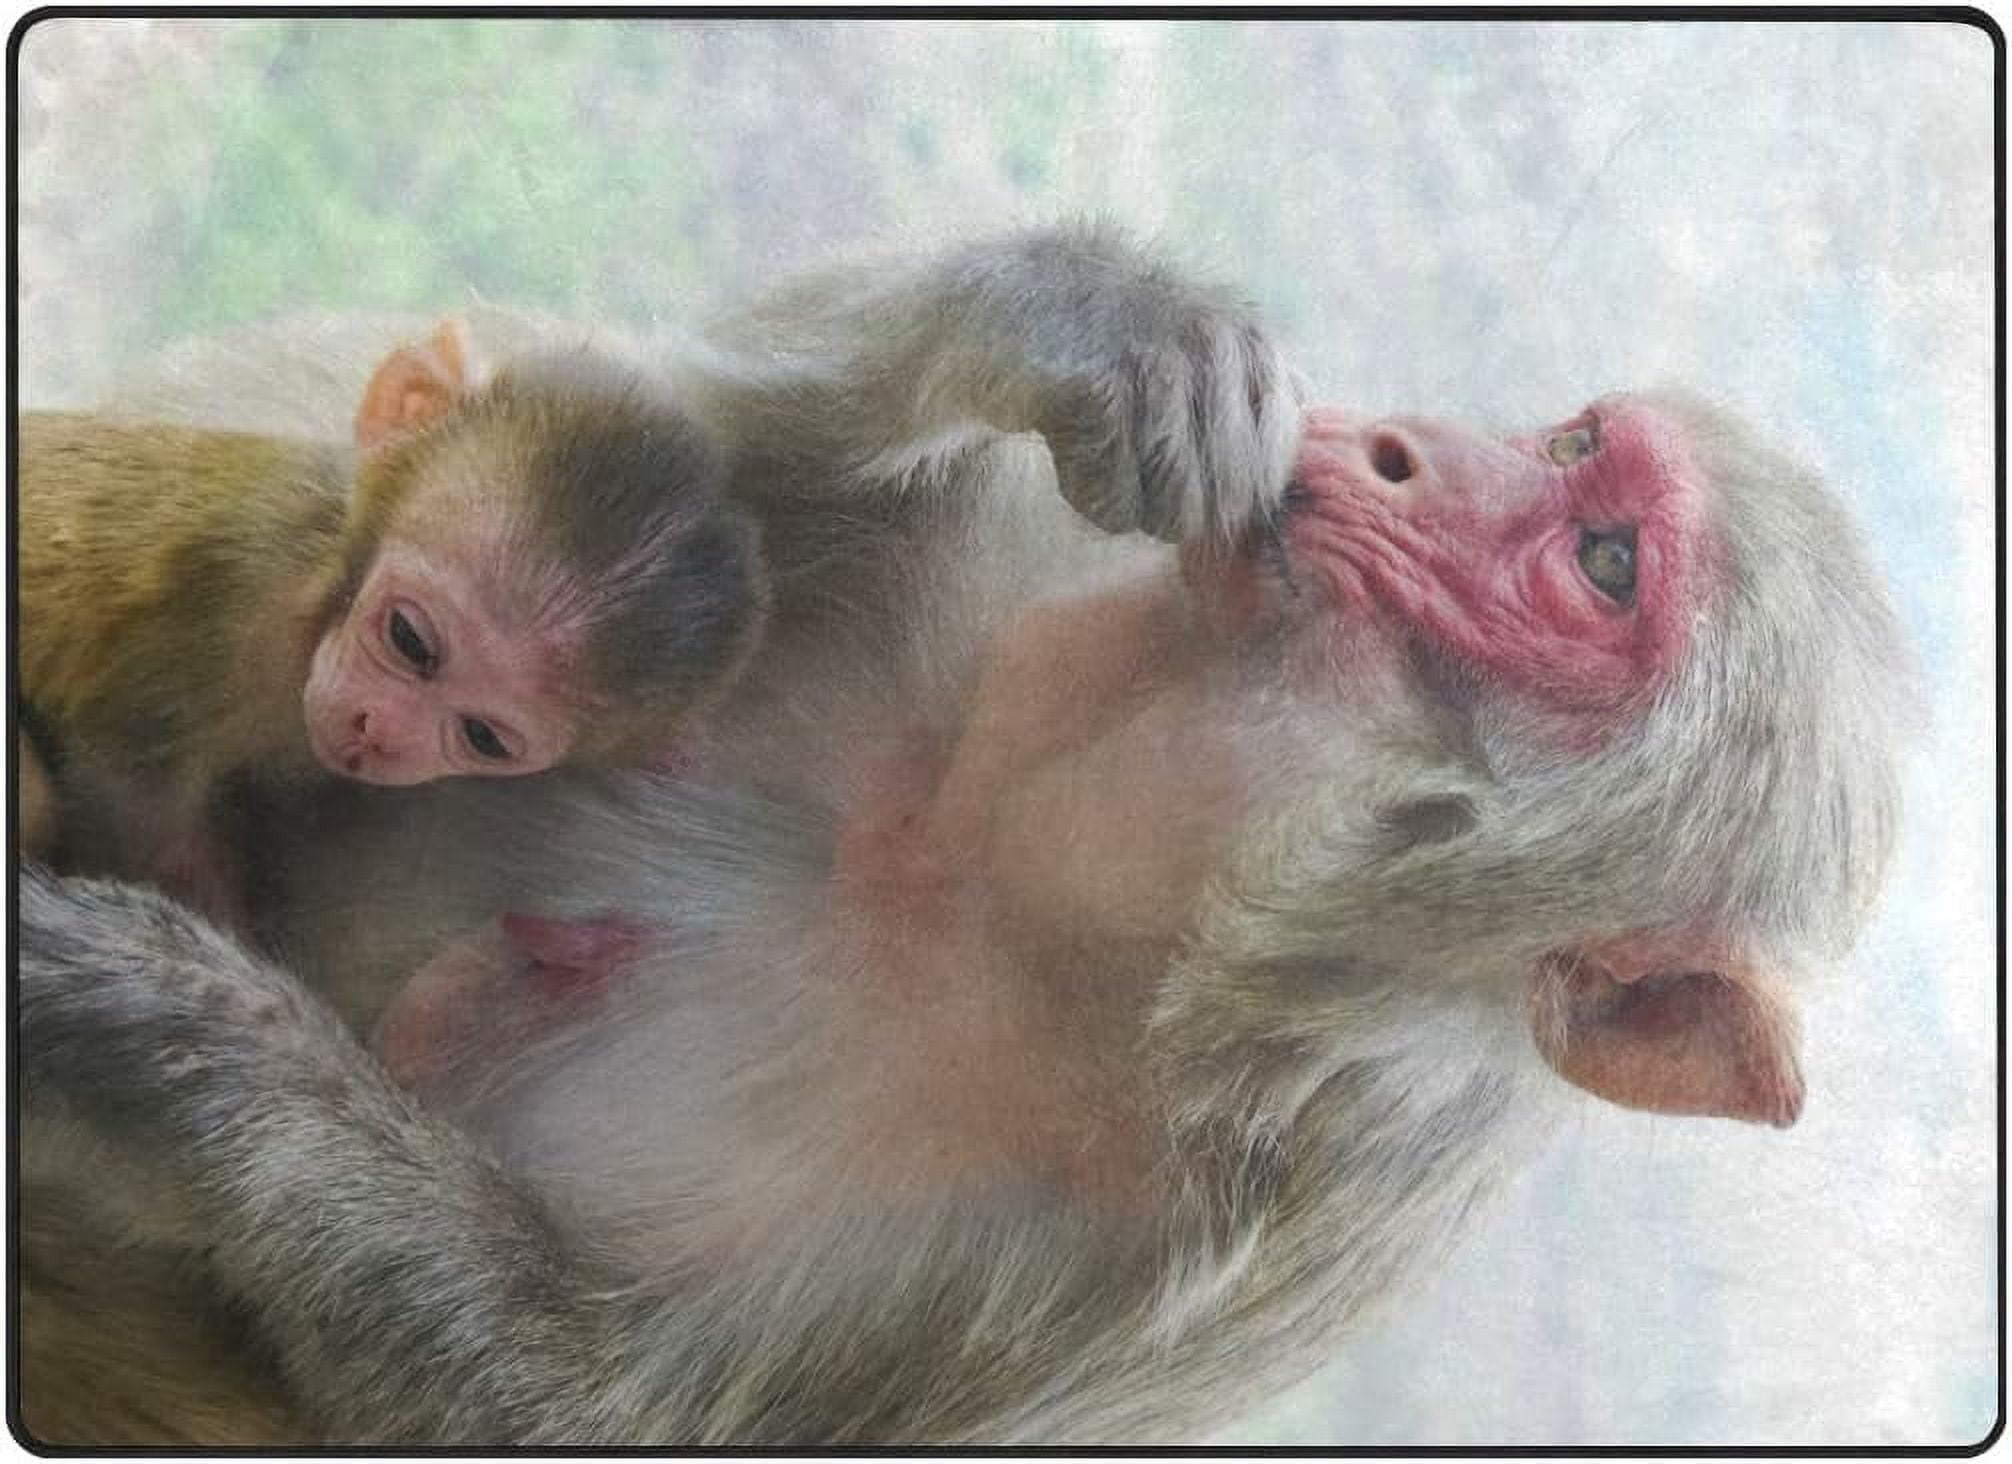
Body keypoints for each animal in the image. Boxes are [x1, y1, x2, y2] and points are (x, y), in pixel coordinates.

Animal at [16, 325, 767, 920]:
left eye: (484, 737)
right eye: (411, 641)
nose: (377, 731)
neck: (326, 584)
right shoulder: (237, 603)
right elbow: (124, 779)